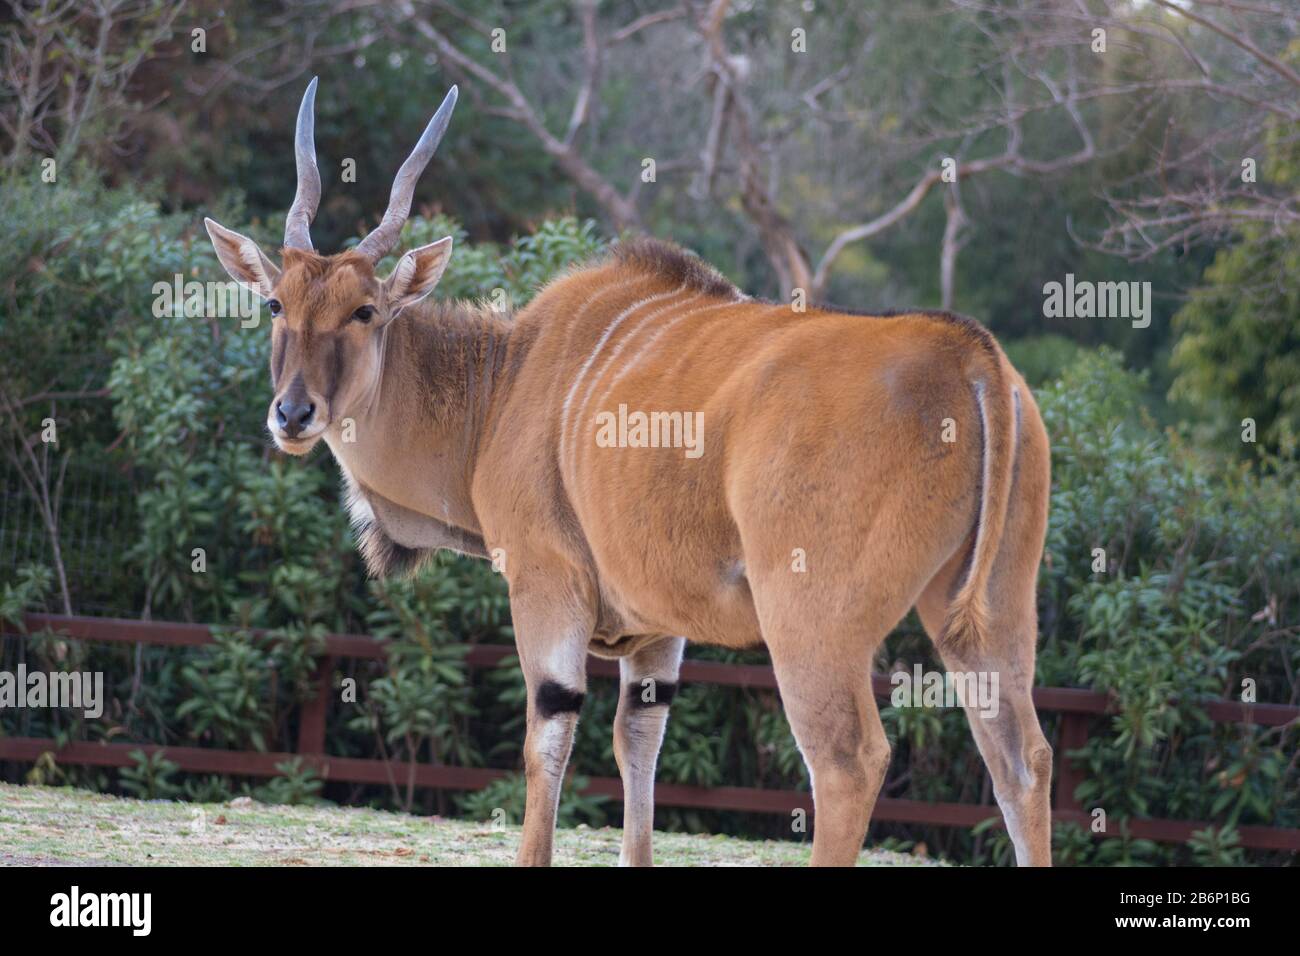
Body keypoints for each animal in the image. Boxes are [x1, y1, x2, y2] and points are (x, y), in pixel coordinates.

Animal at [203, 79, 1054, 867]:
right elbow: (637, 740)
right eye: (275, 305)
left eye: (364, 312)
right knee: (1023, 760)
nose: (292, 414)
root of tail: (970, 358)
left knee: (848, 763)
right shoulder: (657, 631)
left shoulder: (546, 583)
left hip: (812, 624)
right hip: (990, 615)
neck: (502, 382)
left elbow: (549, 735)